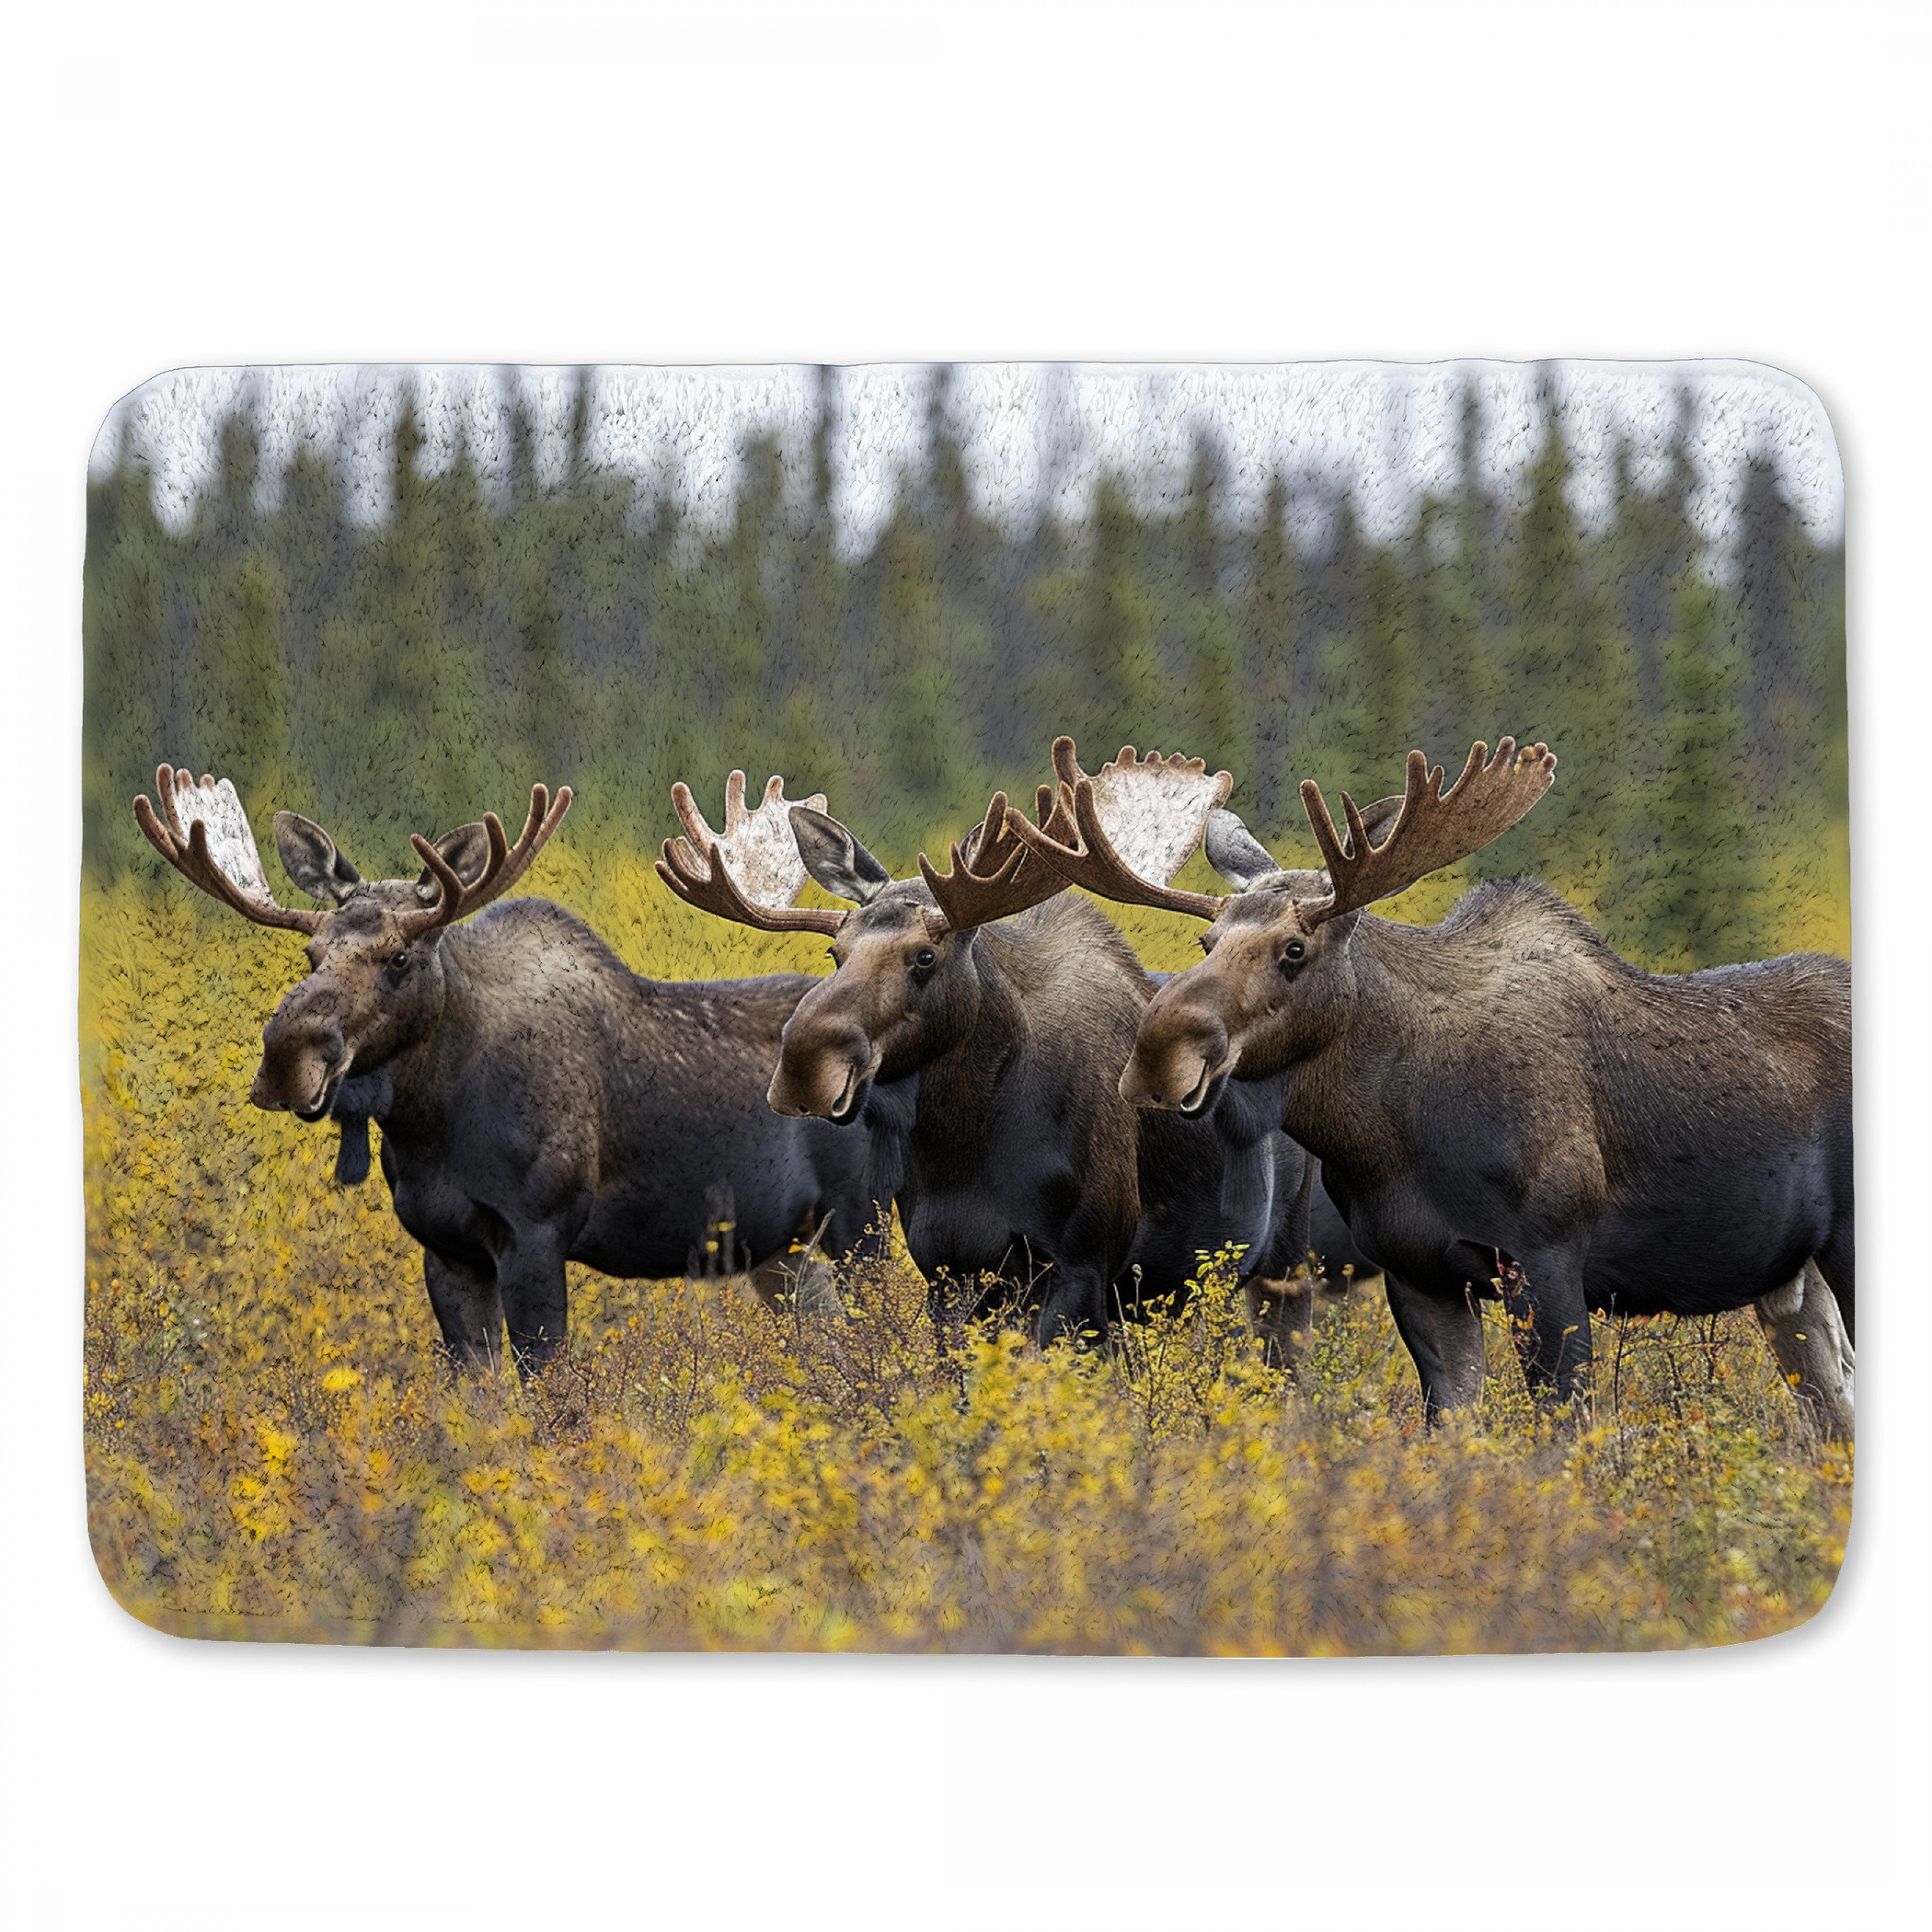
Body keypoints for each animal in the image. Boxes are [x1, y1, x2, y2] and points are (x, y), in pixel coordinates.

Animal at [131, 766, 900, 1374]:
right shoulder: (444, 1249)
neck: (429, 1120)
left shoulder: (535, 1233)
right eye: (311, 954)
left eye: (399, 957)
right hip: (785, 1249)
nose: (289, 1053)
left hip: (860, 1220)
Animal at [656, 755, 1364, 1350]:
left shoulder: (1080, 1265)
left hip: (1281, 1255)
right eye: (835, 952)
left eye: (925, 955)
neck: (965, 1140)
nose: (804, 1064)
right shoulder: (949, 1270)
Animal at [1006, 735, 1855, 1438]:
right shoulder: (1420, 1274)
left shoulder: (1546, 1257)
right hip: (1792, 1283)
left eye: (1294, 949)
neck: (1388, 1129)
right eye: (1205, 940)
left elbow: (1566, 1437)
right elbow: (1450, 1433)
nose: (1158, 1054)